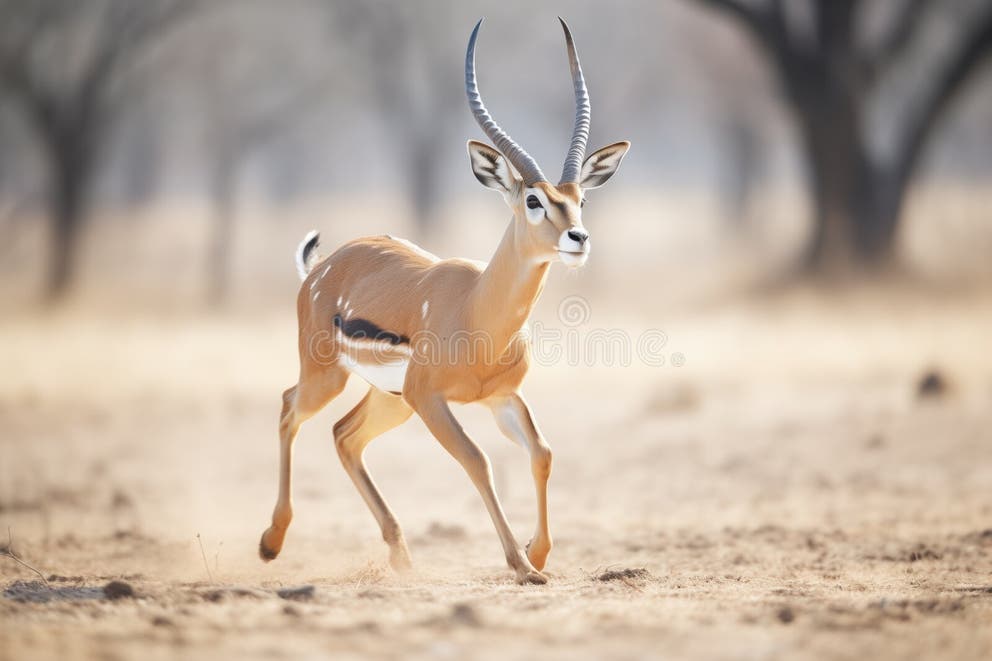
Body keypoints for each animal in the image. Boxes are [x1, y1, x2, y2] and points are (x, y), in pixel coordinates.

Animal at [259, 17, 629, 584]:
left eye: (580, 199)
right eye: (533, 199)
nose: (579, 239)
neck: (477, 310)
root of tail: (320, 267)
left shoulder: (500, 397)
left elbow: (542, 452)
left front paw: (540, 553)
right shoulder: (432, 398)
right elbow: (478, 461)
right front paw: (523, 566)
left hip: (391, 399)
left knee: (345, 435)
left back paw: (400, 555)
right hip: (332, 378)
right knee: (288, 408)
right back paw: (271, 543)